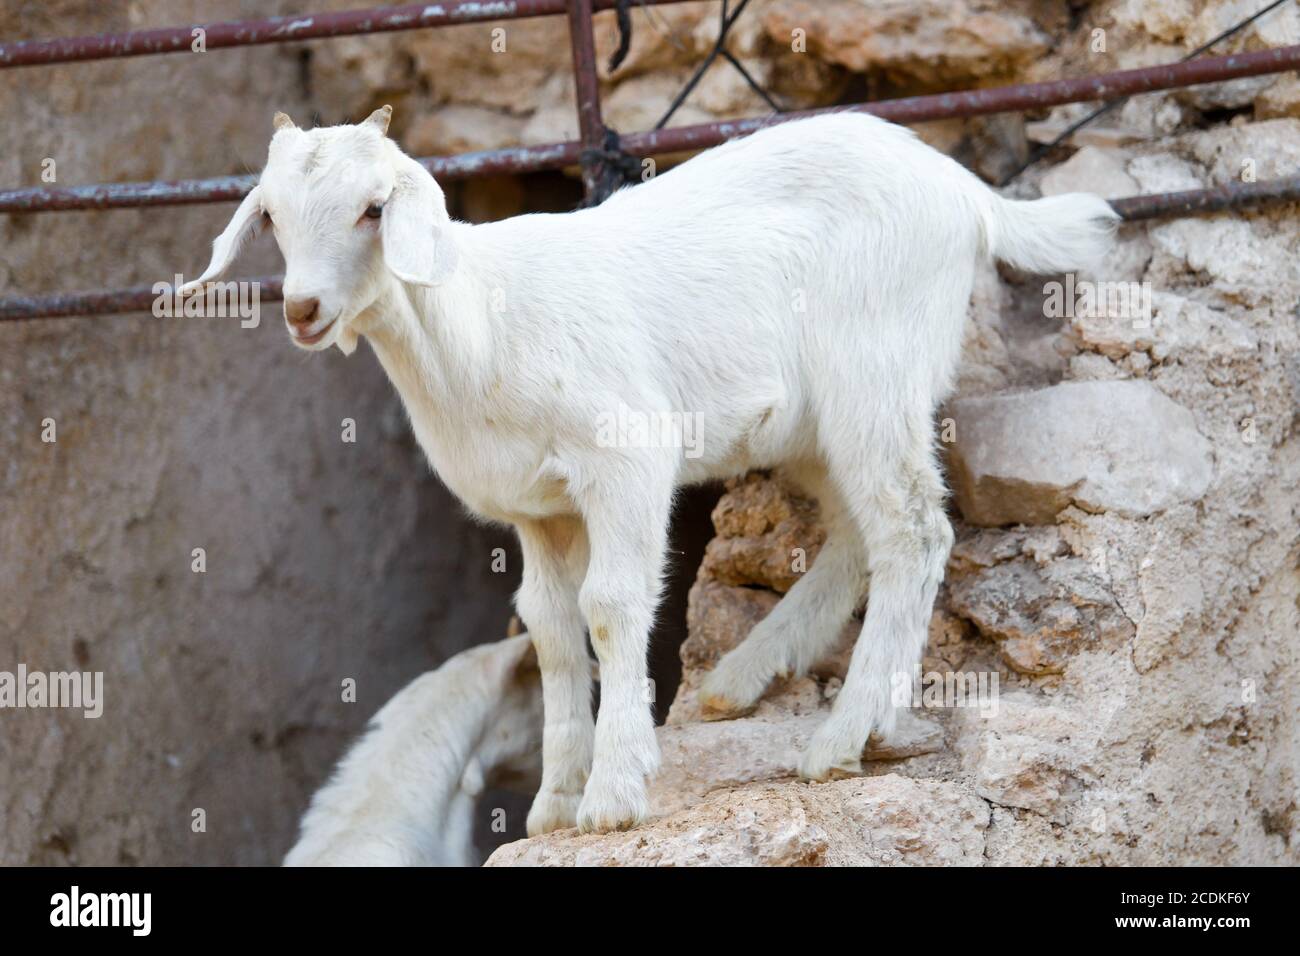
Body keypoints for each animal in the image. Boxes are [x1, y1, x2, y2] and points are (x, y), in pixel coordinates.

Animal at [185, 105, 1115, 835]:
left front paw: (614, 793)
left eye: (374, 209)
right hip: (816, 422)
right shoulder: (537, 510)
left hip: (874, 372)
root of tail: (965, 190)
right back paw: (746, 677)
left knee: (912, 529)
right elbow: (549, 629)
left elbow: (610, 606)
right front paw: (555, 803)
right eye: (271, 217)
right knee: (859, 531)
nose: (303, 310)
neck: (478, 324)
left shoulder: (623, 462)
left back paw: (843, 736)